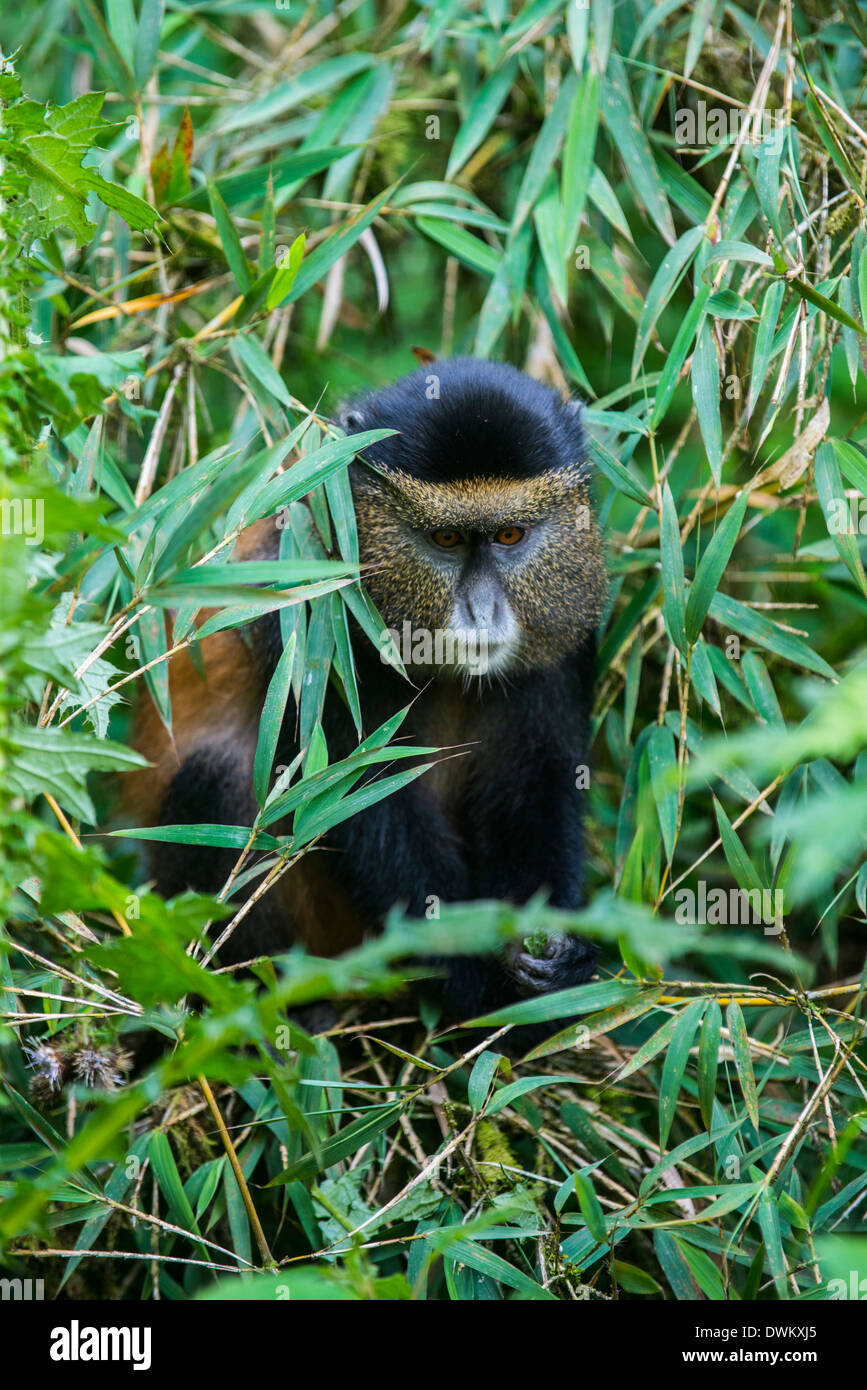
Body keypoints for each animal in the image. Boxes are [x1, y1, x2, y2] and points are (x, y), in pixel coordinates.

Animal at [124, 357, 606, 1024]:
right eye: (446, 541)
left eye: (510, 536)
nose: (483, 612)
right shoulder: (309, 617)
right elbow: (356, 800)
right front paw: (473, 980)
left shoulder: (562, 638)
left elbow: (538, 786)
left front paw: (555, 968)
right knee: (209, 783)